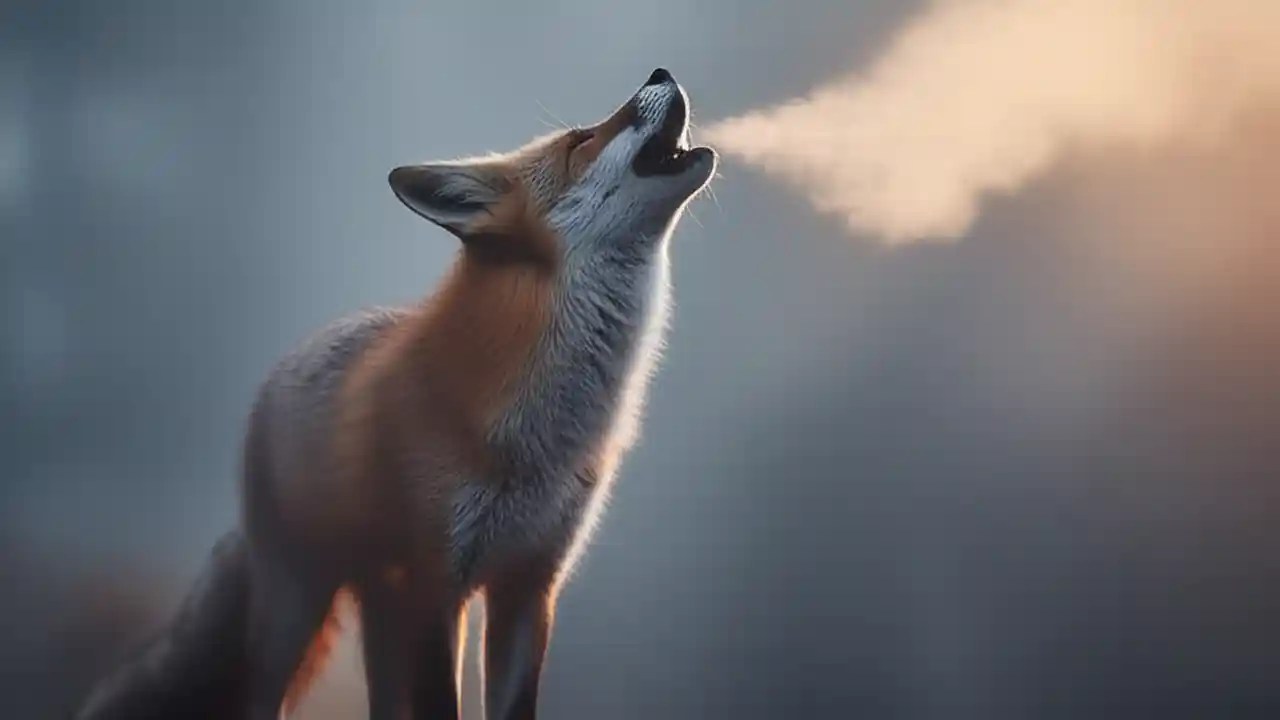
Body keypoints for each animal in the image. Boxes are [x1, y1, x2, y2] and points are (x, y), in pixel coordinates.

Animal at [74, 68, 715, 720]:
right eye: (579, 140)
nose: (660, 72)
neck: (543, 435)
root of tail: (291, 358)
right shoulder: (437, 584)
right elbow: (440, 704)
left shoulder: (529, 585)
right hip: (298, 605)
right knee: (259, 698)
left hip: (381, 608)